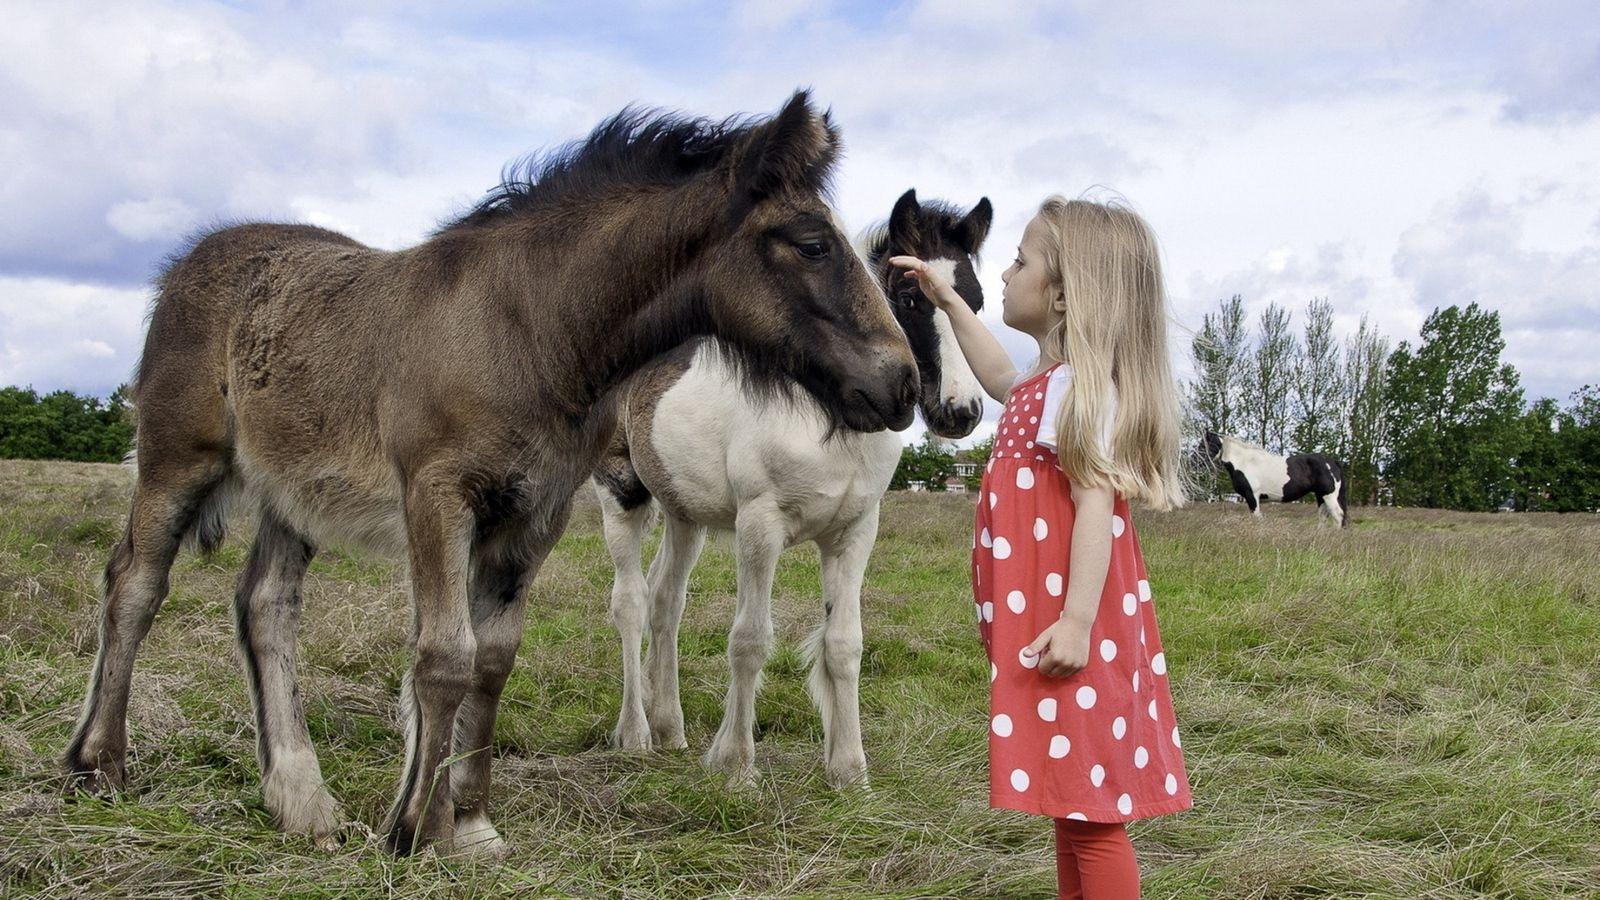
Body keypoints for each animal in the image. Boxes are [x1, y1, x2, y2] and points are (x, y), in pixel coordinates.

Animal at [61, 91, 920, 855]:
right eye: (811, 243)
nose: (903, 383)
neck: (528, 327)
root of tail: (189, 262)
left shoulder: (534, 515)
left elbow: (494, 660)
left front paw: (468, 823)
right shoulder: (437, 496)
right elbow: (445, 657)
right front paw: (414, 830)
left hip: (292, 494)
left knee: (266, 606)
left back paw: (302, 801)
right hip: (178, 459)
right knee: (135, 583)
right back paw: (98, 766)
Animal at [590, 189, 991, 788]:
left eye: (978, 301)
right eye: (910, 298)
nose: (961, 412)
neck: (829, 418)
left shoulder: (855, 531)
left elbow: (844, 644)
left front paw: (849, 770)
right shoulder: (760, 524)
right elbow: (749, 639)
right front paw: (735, 763)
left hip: (685, 515)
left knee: (667, 601)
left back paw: (670, 729)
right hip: (621, 494)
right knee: (631, 603)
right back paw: (635, 735)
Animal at [1201, 431, 1349, 527]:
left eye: (1205, 445)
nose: (1197, 462)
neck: (1245, 462)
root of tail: (1332, 462)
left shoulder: (1252, 496)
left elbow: (1256, 517)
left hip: (1329, 496)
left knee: (1338, 516)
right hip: (1320, 496)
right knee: (1323, 517)